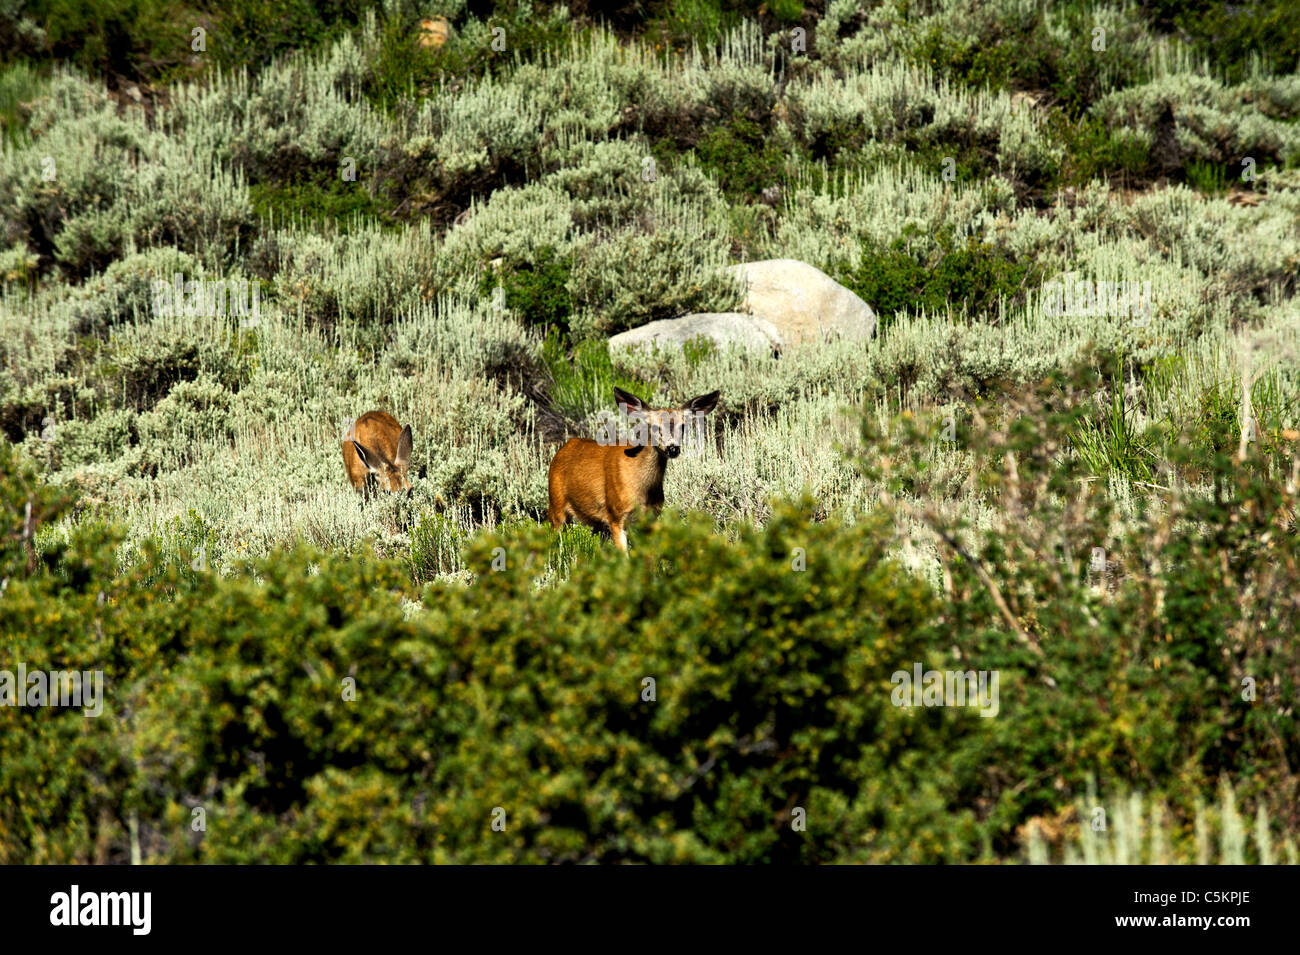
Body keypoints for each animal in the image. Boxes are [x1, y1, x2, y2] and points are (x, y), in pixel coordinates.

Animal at [547, 386, 720, 552]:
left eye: (683, 426)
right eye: (654, 427)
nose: (673, 448)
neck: (643, 491)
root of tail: (562, 449)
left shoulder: (651, 517)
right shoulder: (616, 514)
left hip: (596, 522)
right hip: (556, 505)